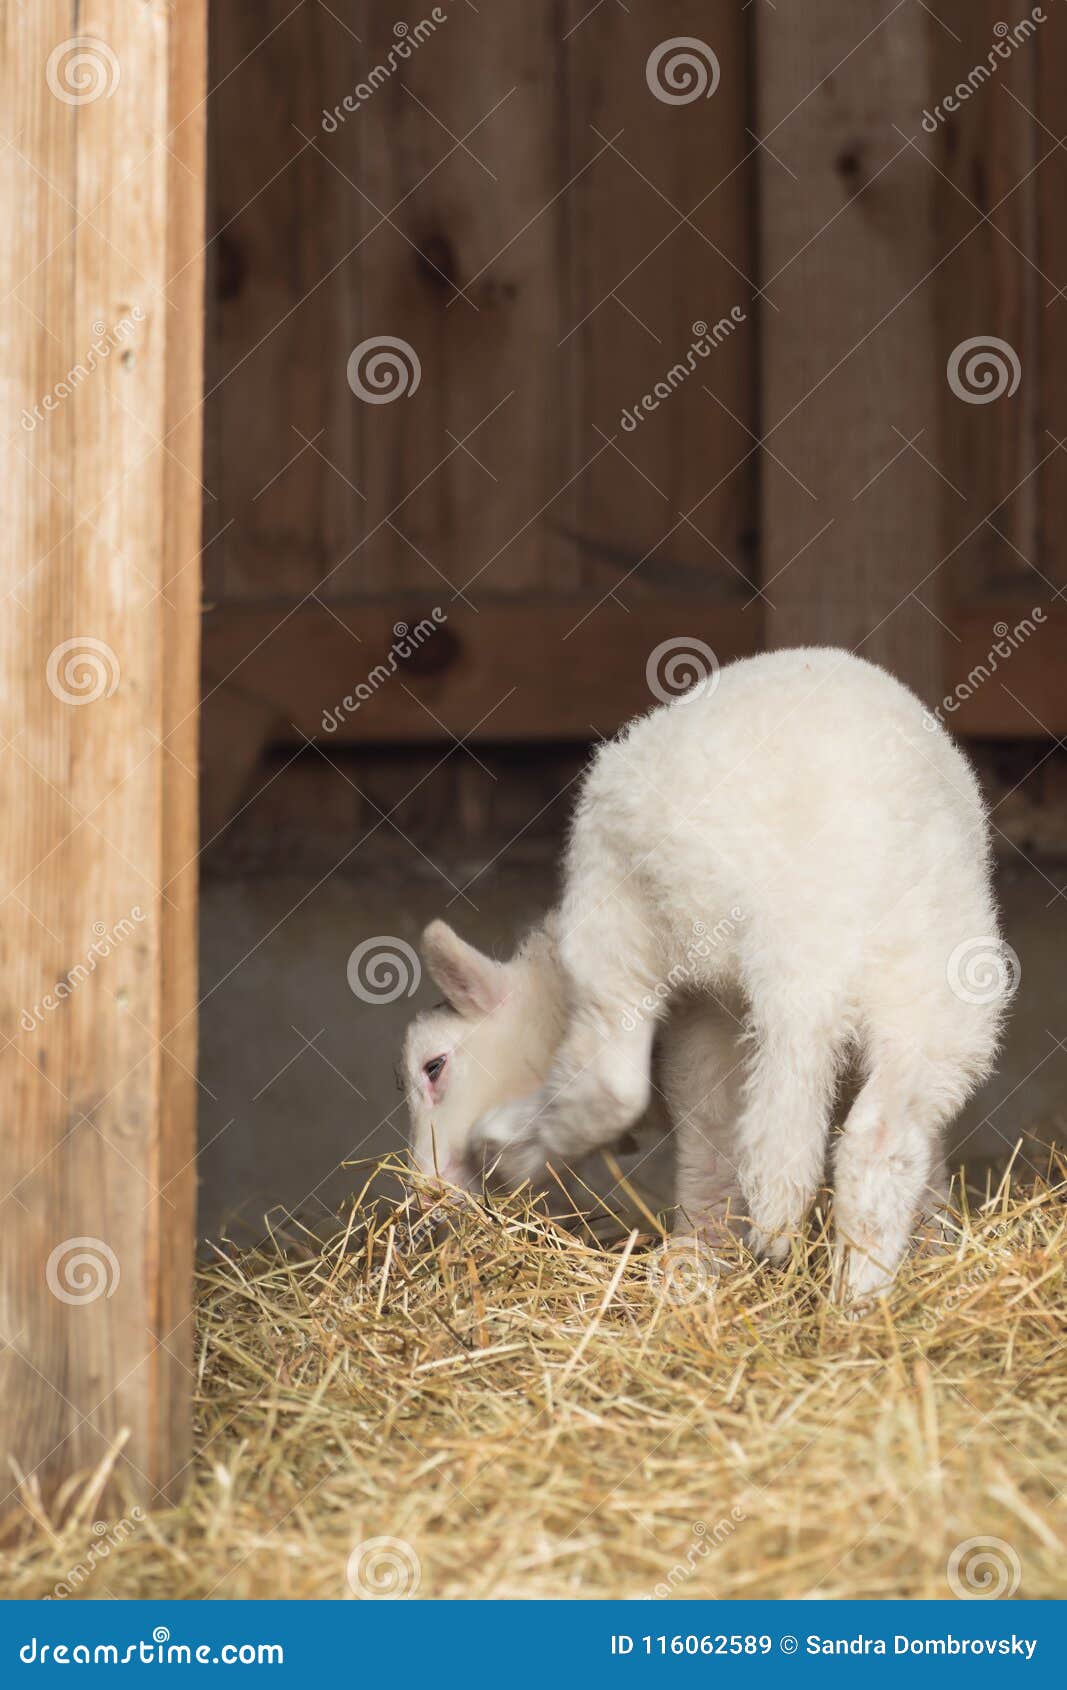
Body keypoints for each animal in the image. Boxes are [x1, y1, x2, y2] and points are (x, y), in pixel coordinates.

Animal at [402, 647, 1008, 1302]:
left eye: (433, 1068)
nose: (425, 1197)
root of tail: (816, 933)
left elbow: (695, 1128)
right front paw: (934, 1241)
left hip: (649, 925)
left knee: (621, 1085)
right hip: (939, 986)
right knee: (882, 1139)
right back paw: (859, 1299)